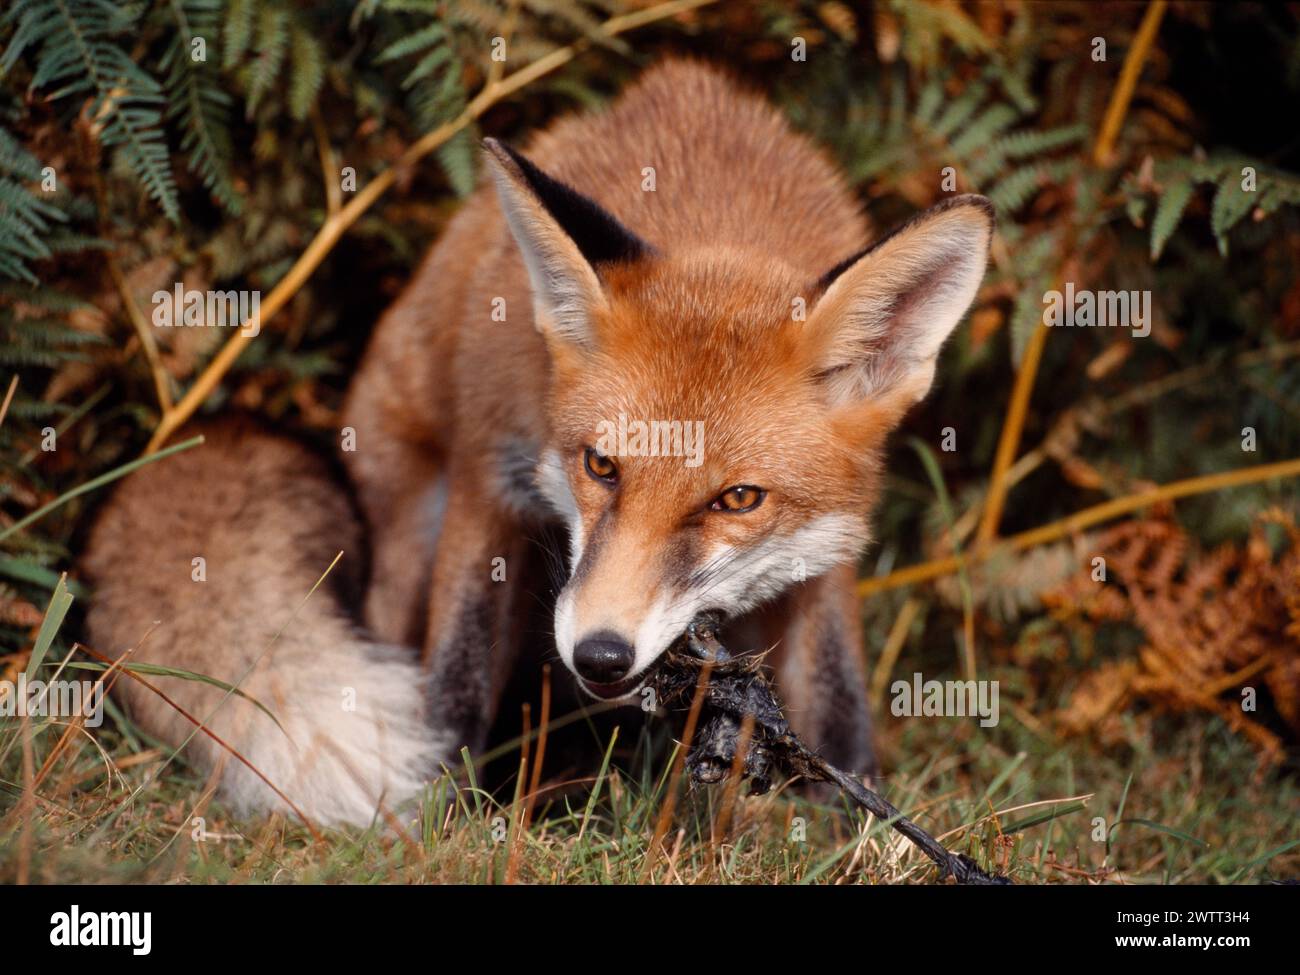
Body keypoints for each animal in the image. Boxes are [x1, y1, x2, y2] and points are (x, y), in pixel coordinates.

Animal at [81, 59, 993, 825]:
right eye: (601, 464)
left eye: (738, 498)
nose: (600, 655)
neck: (716, 206)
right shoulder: (490, 472)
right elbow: (455, 673)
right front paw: (439, 821)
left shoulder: (827, 545)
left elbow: (838, 704)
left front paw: (850, 829)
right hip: (409, 521)